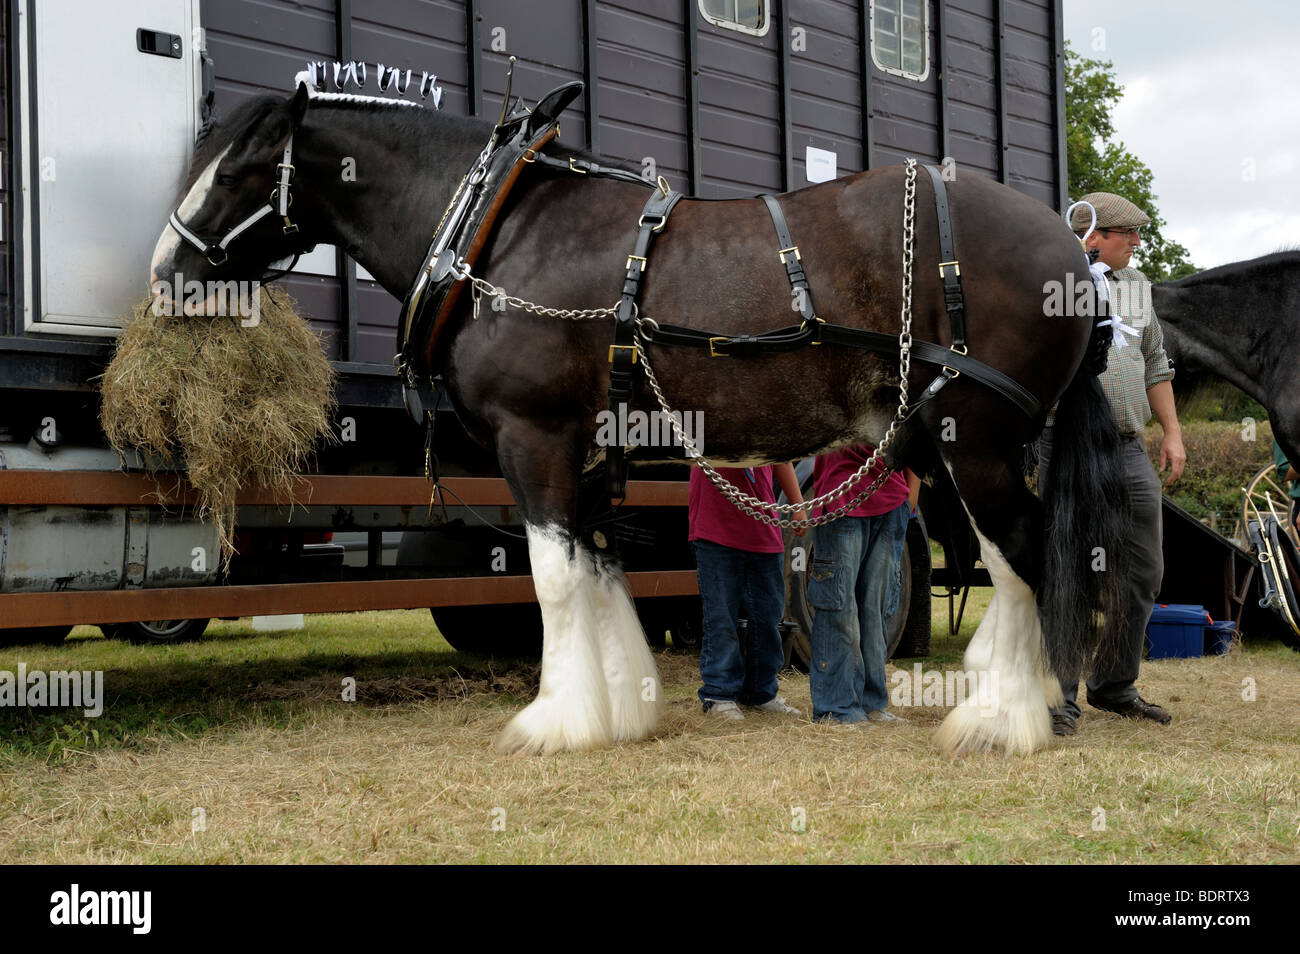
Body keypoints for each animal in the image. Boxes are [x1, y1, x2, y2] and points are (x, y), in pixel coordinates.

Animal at [147, 82, 1128, 756]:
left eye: (235, 171)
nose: (164, 274)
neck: (494, 230)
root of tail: (1066, 249)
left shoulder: (534, 439)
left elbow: (551, 582)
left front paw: (552, 720)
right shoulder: (587, 456)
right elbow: (597, 575)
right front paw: (614, 706)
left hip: (978, 440)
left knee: (1024, 554)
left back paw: (1008, 718)